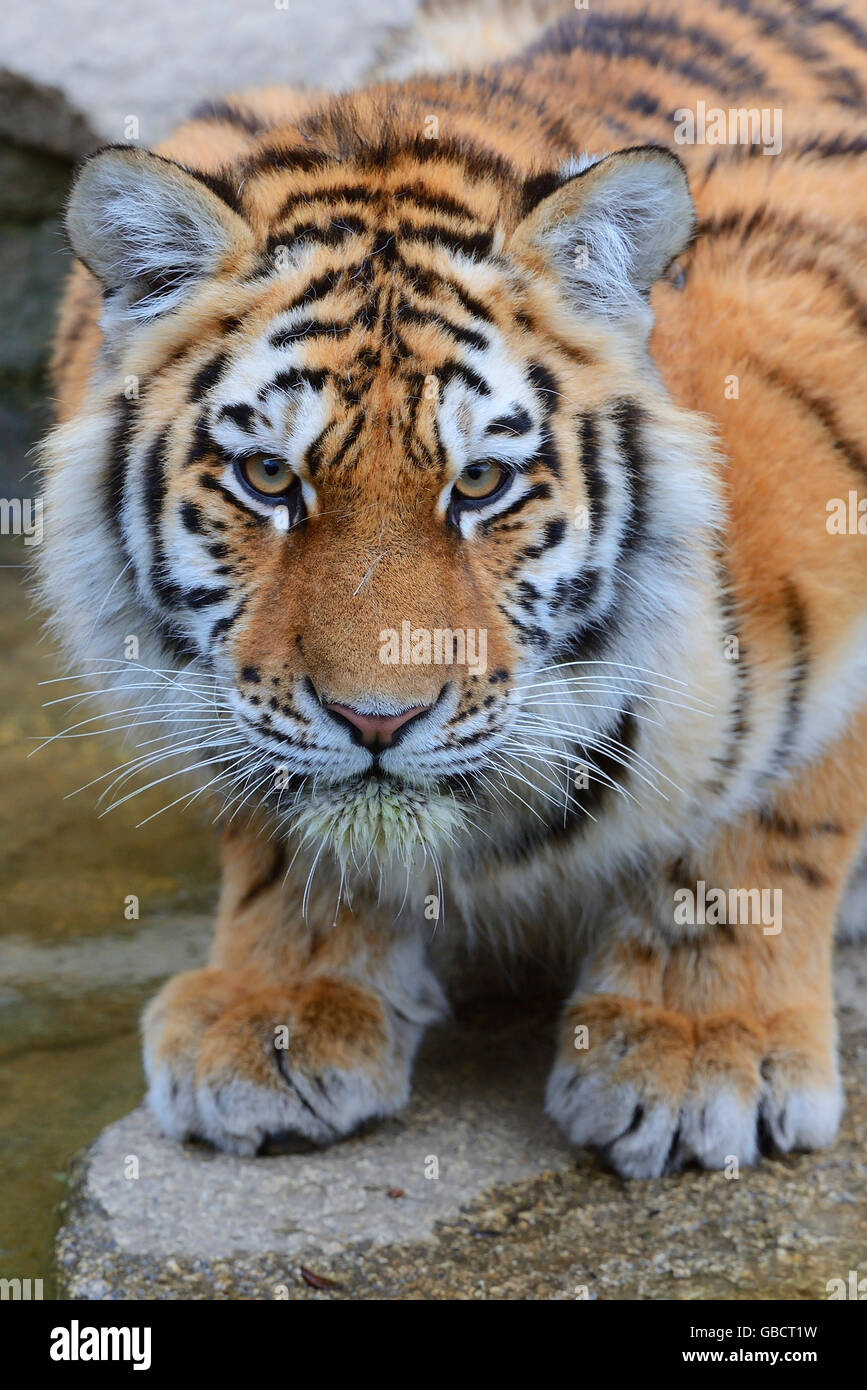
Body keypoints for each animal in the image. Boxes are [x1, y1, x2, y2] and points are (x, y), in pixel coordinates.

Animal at [38, 0, 867, 1177]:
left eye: (479, 483)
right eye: (268, 478)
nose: (376, 721)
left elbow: (775, 812)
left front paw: (702, 1041)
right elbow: (278, 816)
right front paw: (280, 1002)